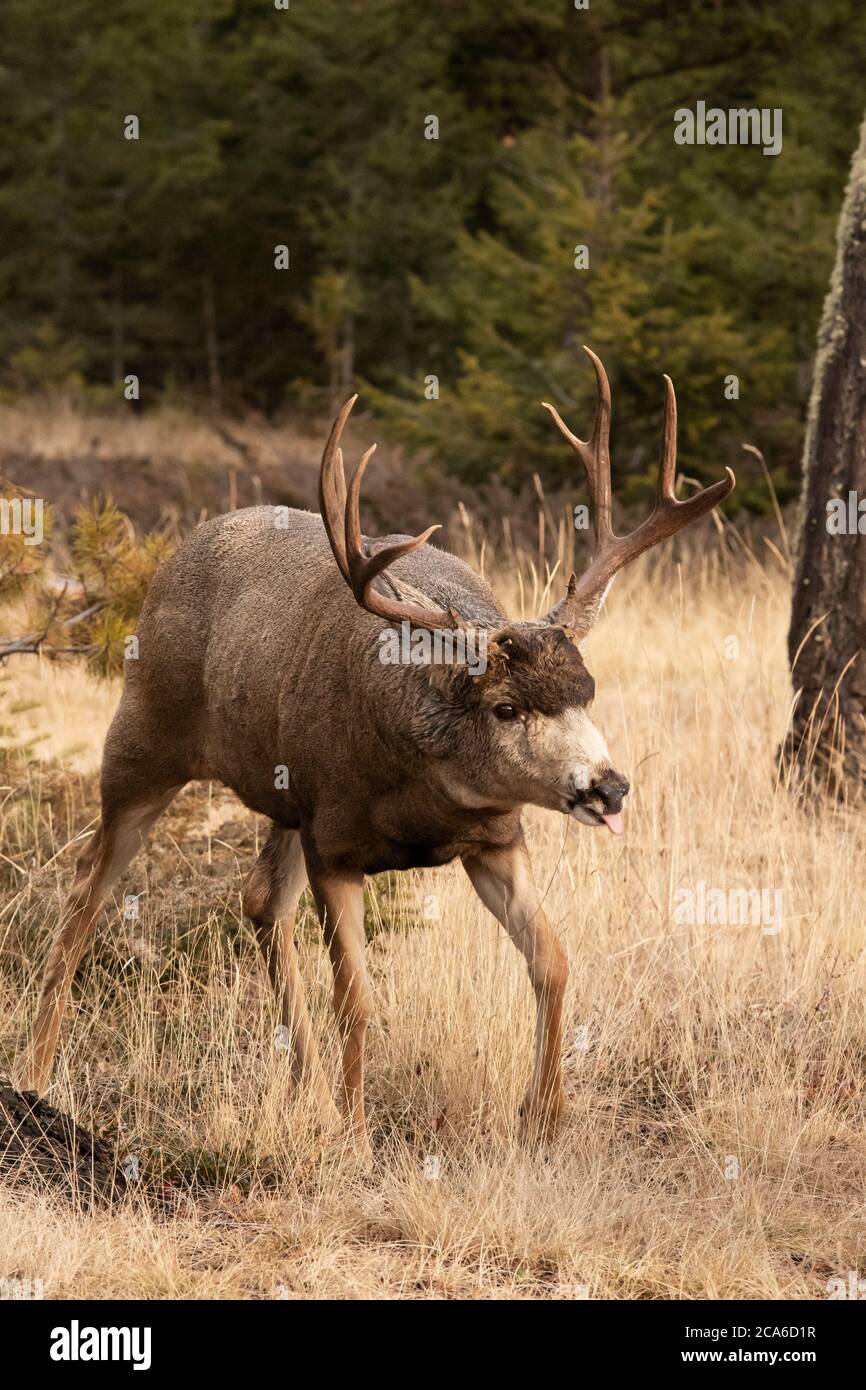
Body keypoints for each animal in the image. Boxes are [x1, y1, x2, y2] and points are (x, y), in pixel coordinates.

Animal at [23, 348, 734, 1156]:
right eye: (506, 707)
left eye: (587, 689)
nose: (608, 787)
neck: (424, 787)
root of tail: (181, 549)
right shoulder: (336, 843)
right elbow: (357, 998)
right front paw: (358, 1139)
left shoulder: (496, 836)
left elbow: (552, 960)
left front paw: (544, 1117)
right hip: (142, 739)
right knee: (86, 897)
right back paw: (38, 1078)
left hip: (285, 796)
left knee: (259, 898)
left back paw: (303, 1085)